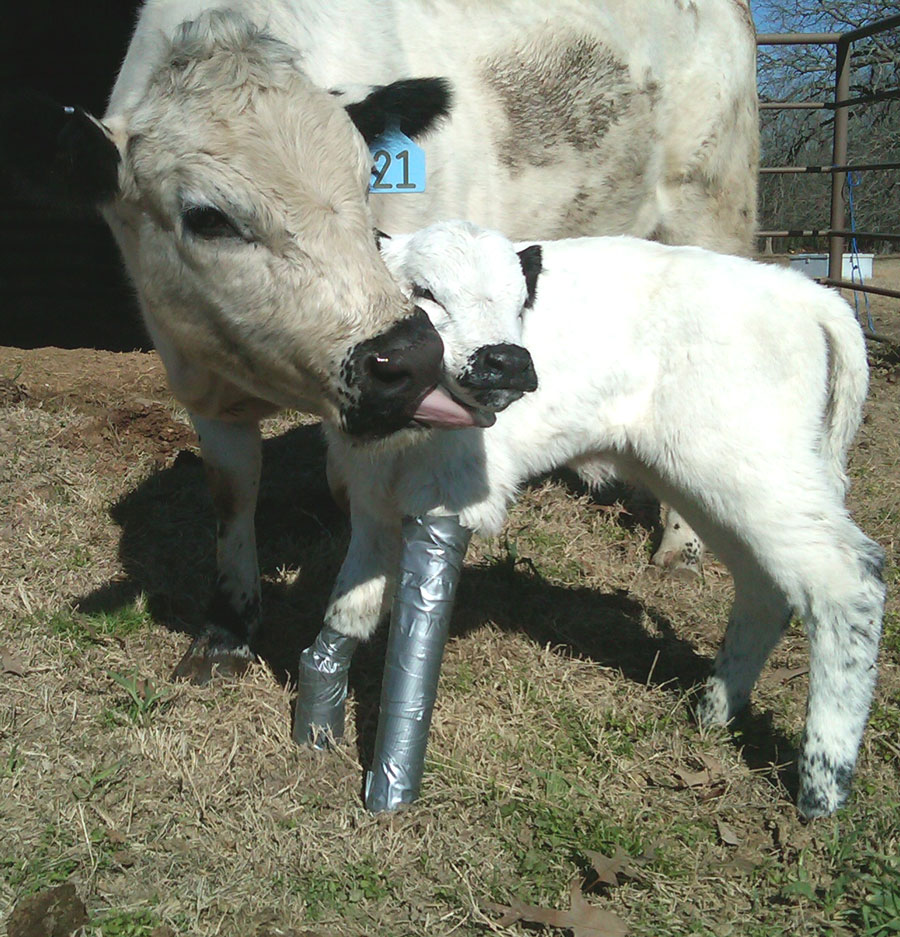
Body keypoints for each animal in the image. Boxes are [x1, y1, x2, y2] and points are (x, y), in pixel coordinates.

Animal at [0, 0, 759, 680]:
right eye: (206, 216)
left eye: (366, 180)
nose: (414, 357)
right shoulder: (198, 375)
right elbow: (232, 490)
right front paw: (227, 628)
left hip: (714, 217)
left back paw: (681, 545)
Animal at [319, 220, 884, 818]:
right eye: (423, 291)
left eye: (521, 300)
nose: (507, 361)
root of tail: (806, 295)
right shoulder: (373, 499)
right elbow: (347, 608)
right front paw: (319, 720)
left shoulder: (446, 494)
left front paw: (393, 776)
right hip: (702, 476)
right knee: (766, 586)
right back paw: (713, 713)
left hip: (757, 462)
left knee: (851, 578)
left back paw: (822, 785)